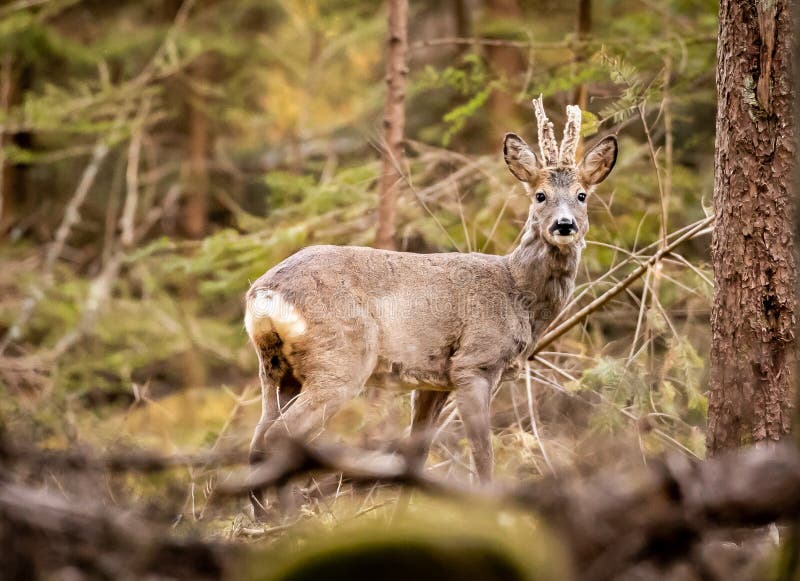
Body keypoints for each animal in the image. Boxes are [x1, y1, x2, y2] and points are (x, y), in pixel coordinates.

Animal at [244, 97, 617, 515]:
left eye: (582, 195)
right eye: (539, 195)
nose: (564, 225)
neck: (516, 291)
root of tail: (265, 293)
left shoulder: (432, 380)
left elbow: (415, 454)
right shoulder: (474, 363)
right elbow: (482, 453)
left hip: (276, 369)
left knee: (258, 438)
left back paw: (263, 517)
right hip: (340, 358)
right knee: (279, 435)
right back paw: (289, 516)